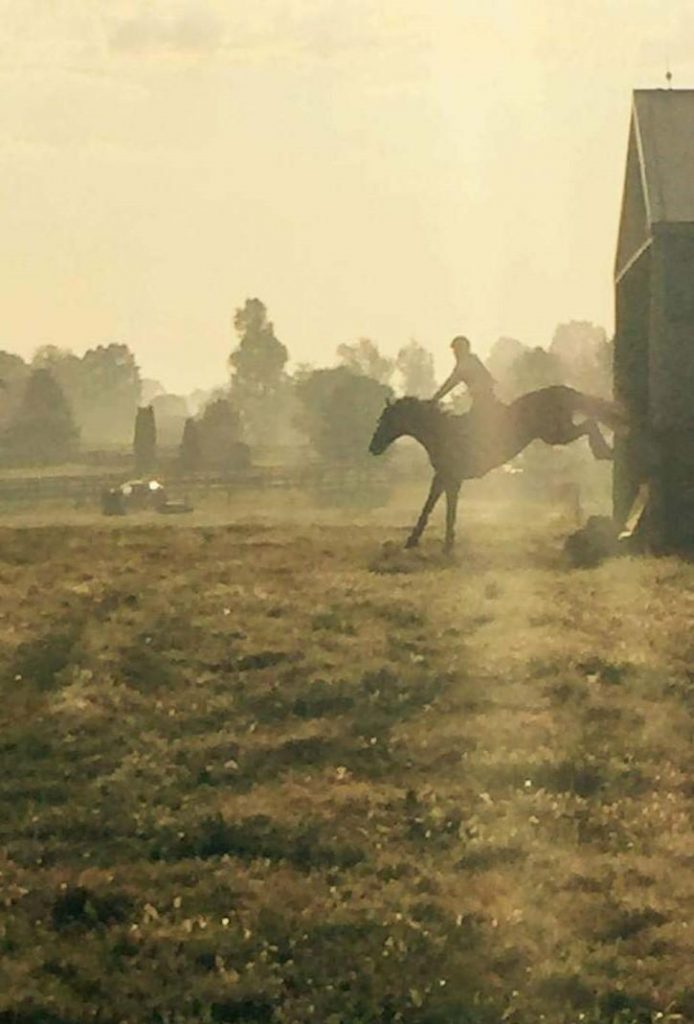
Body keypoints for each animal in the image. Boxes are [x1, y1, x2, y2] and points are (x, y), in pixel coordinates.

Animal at [368, 385, 624, 552]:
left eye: (386, 420)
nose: (373, 448)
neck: (441, 431)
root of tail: (561, 389)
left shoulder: (449, 477)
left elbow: (442, 509)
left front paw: (441, 543)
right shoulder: (445, 478)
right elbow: (434, 507)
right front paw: (421, 539)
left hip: (555, 433)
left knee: (589, 424)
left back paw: (606, 451)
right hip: (556, 432)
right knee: (590, 423)